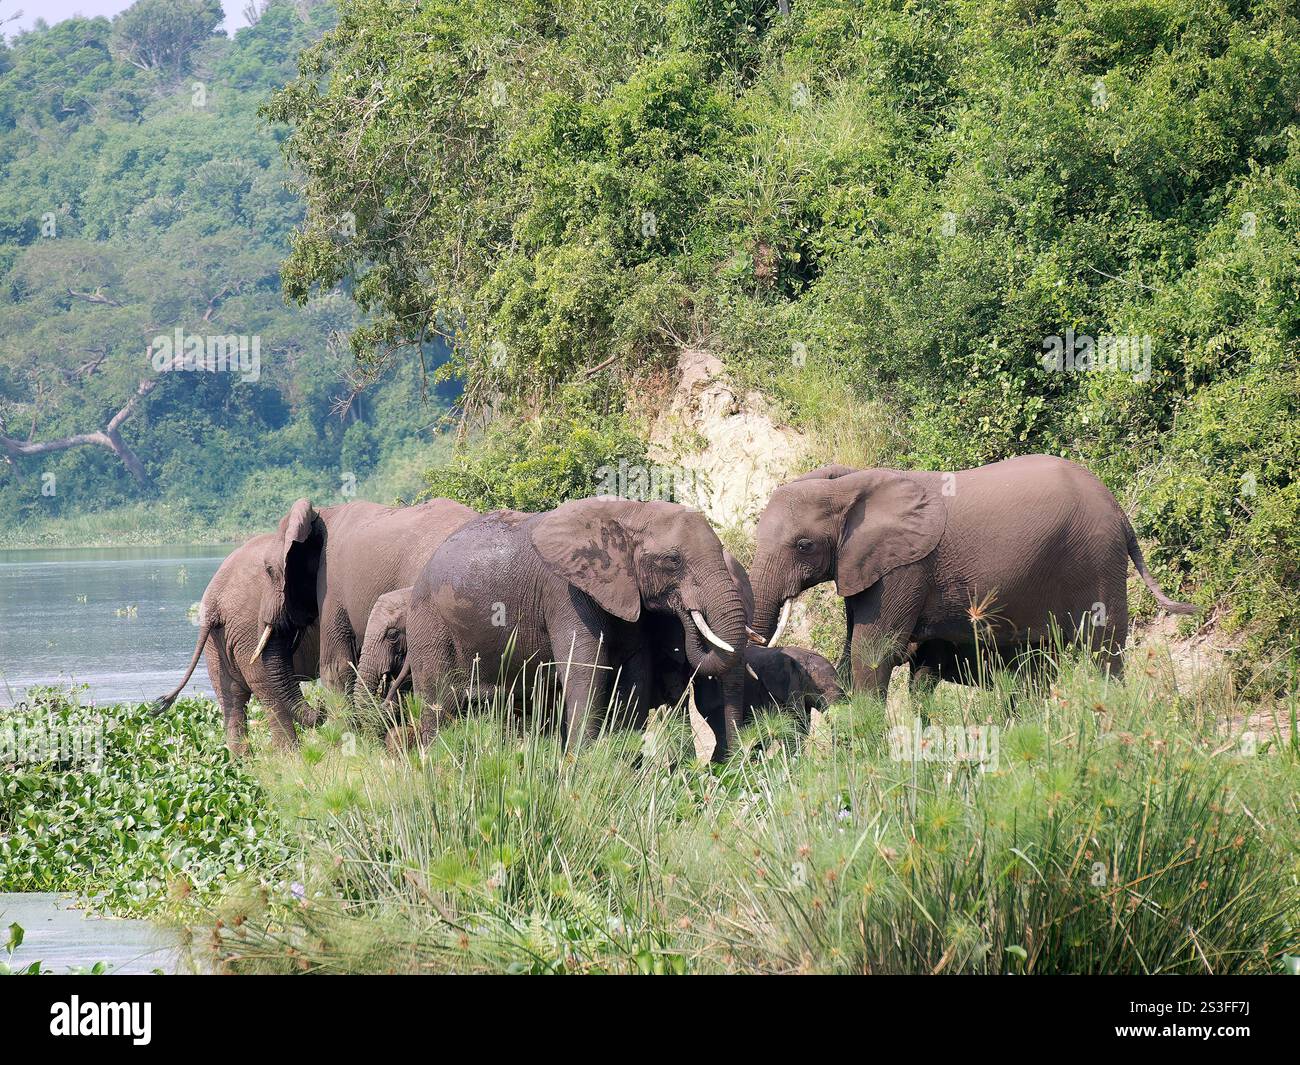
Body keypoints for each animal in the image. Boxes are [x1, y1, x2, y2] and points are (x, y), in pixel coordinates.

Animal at [152, 533, 321, 753]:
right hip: (246, 630)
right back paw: (291, 756)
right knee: (268, 693)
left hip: (217, 640)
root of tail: (214, 596)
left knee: (231, 697)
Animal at [404, 500, 750, 759]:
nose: (687, 612)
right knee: (437, 704)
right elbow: (586, 667)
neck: (629, 513)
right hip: (428, 624)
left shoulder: (625, 595)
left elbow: (635, 670)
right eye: (672, 560)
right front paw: (582, 767)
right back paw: (436, 762)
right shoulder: (565, 592)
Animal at [747, 455, 1197, 696]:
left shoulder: (905, 569)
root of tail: (1120, 512)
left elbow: (872, 651)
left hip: (1097, 560)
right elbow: (854, 647)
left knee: (1103, 649)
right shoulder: (864, 565)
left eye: (804, 545)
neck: (851, 482)